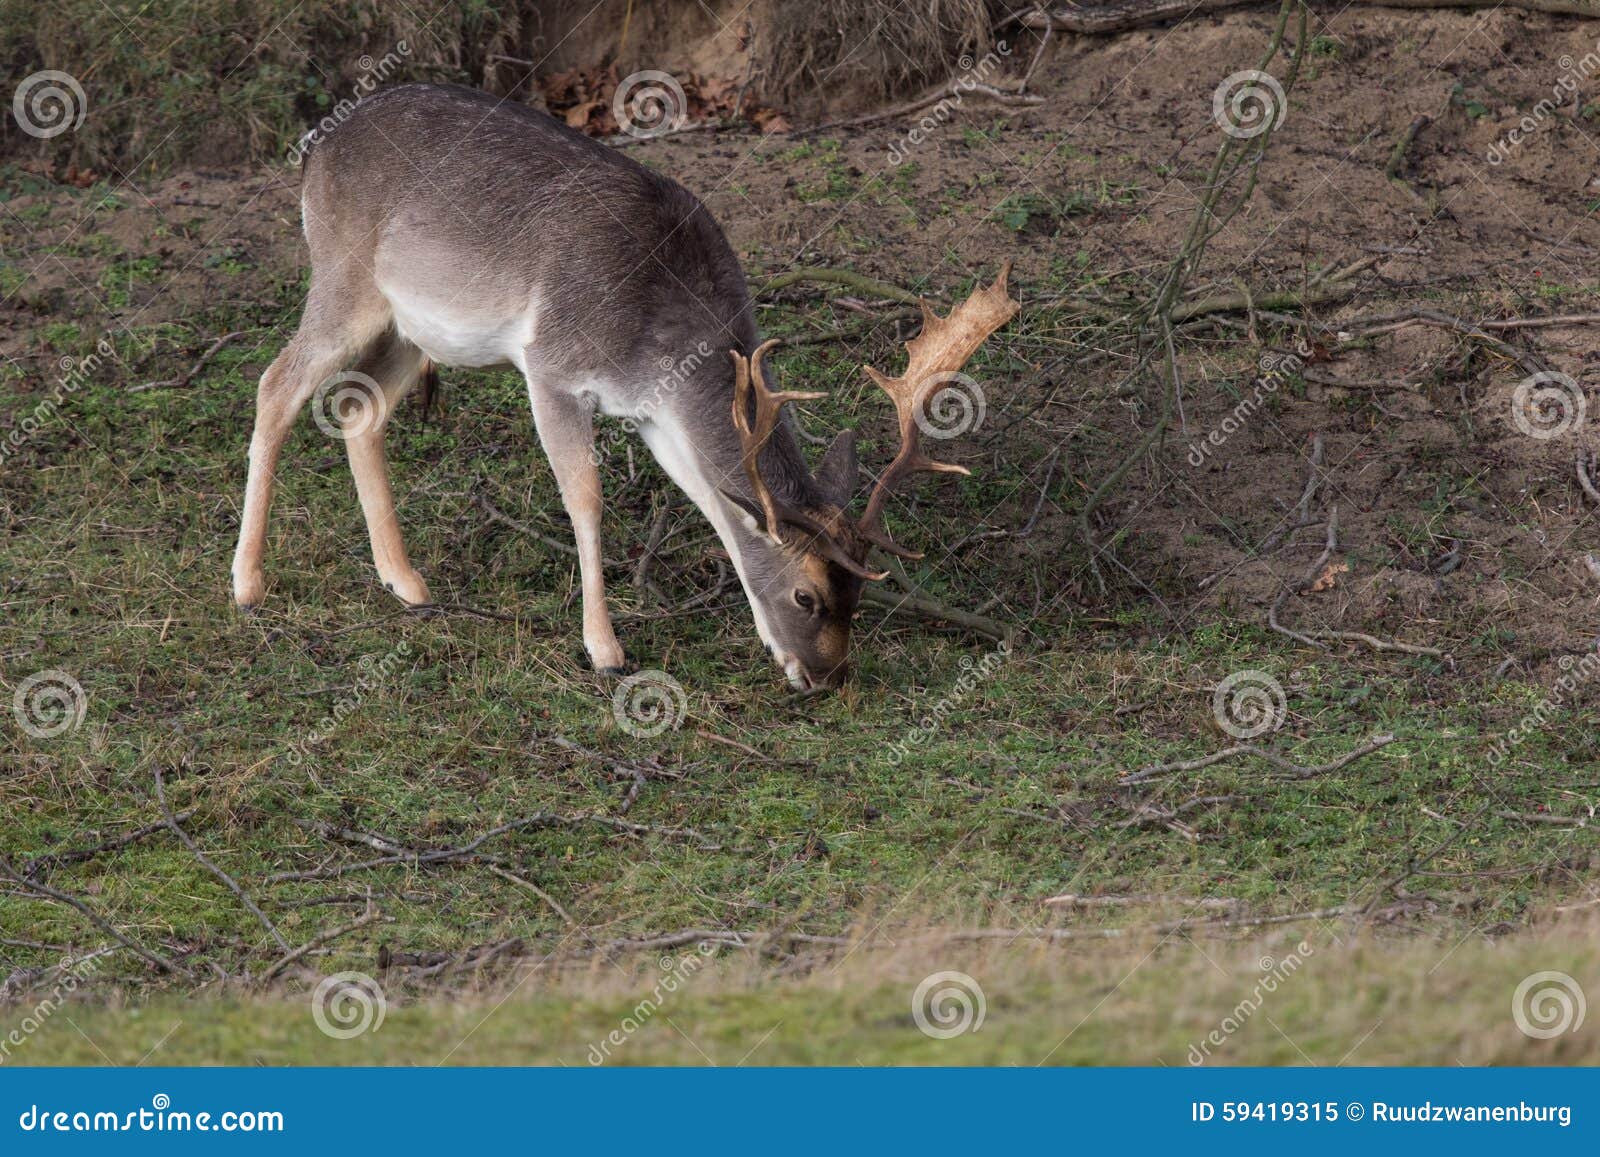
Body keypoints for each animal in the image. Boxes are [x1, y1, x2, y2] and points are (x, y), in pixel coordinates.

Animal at [231, 83, 1017, 690]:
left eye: (858, 587)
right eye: (807, 593)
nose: (826, 676)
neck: (662, 335)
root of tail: (316, 144)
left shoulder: (655, 410)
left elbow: (710, 499)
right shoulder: (552, 365)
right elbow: (586, 497)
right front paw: (605, 649)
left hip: (412, 325)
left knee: (359, 407)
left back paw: (407, 583)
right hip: (343, 276)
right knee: (276, 383)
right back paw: (247, 584)